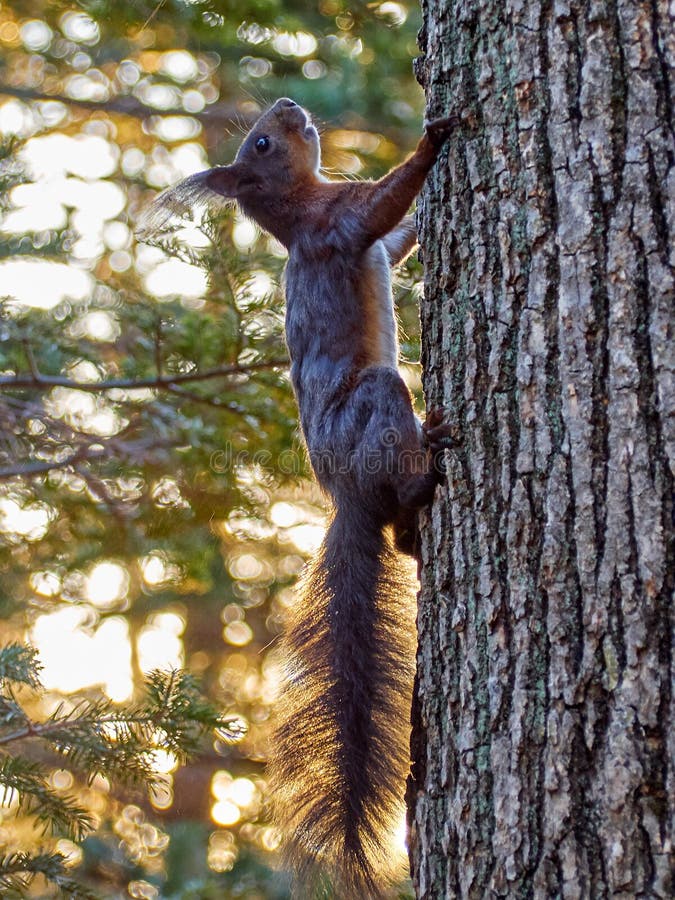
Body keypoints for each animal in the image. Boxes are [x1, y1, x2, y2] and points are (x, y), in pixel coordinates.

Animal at [142, 98, 455, 898]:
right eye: (261, 142)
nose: (289, 106)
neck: (298, 209)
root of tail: (346, 496)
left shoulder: (345, 229)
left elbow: (396, 240)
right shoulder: (337, 224)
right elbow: (380, 208)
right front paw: (430, 143)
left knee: (398, 534)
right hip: (374, 405)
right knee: (397, 462)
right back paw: (426, 470)